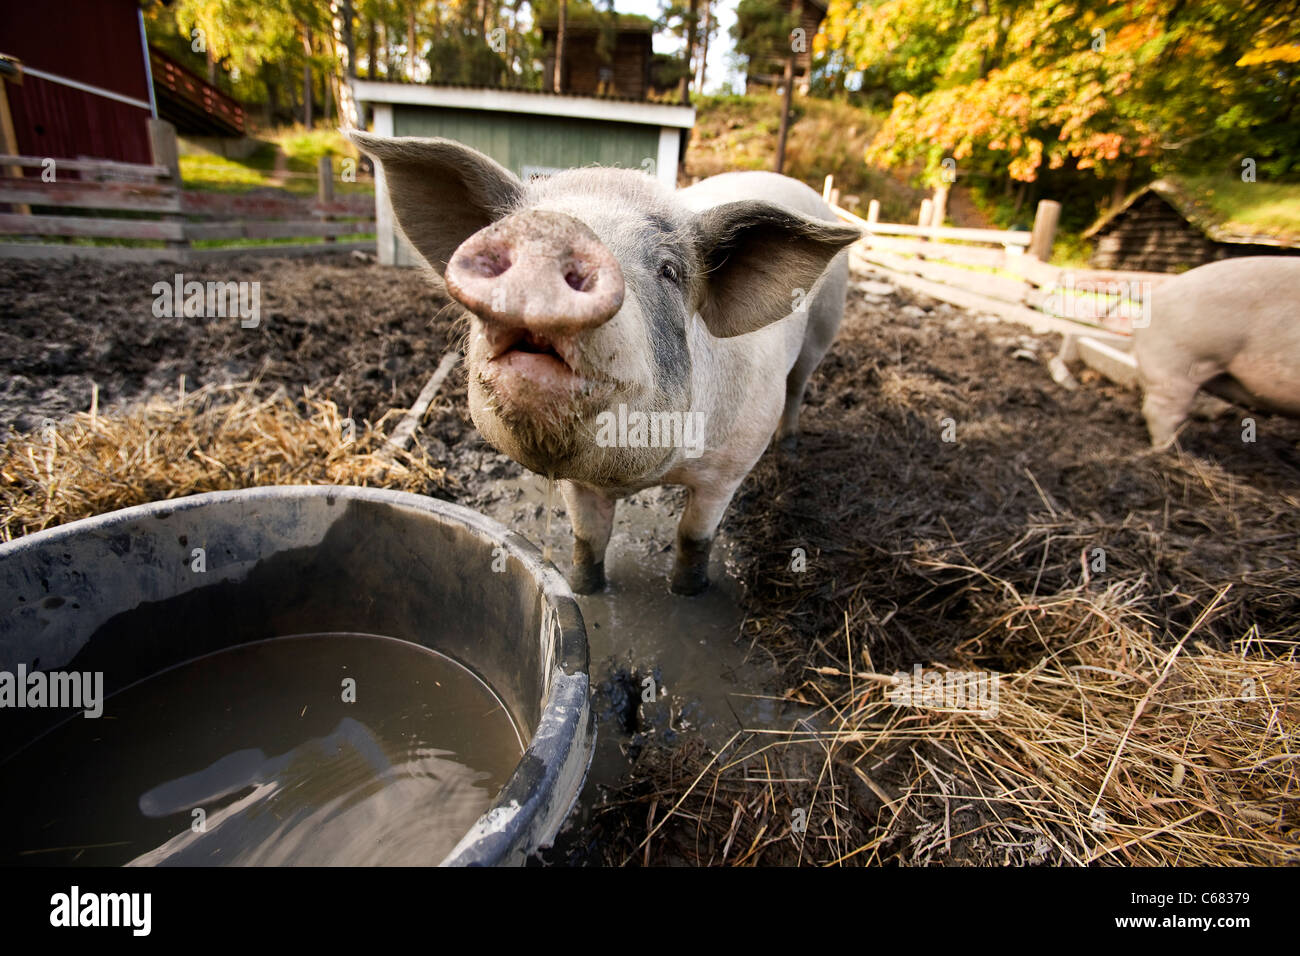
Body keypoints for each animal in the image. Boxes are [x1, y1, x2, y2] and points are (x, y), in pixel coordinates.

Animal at [350, 132, 859, 595]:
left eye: (670, 271)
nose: (550, 231)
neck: (637, 475)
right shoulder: (579, 484)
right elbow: (588, 539)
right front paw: (586, 590)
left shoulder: (731, 464)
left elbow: (693, 537)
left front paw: (687, 592)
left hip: (825, 327)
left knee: (799, 385)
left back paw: (789, 446)